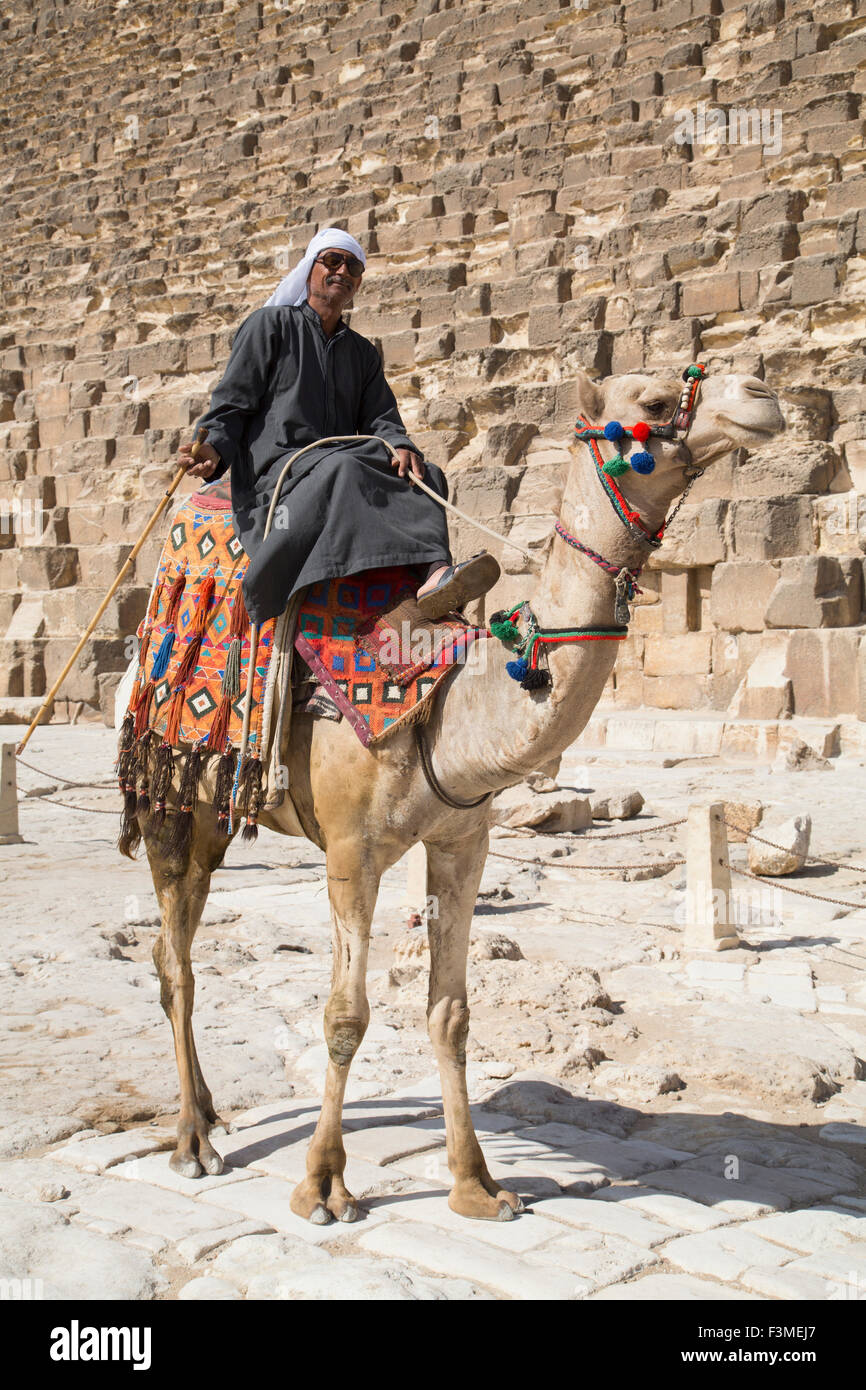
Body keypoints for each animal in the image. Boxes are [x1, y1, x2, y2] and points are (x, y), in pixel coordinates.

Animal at [136, 365, 784, 1223]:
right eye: (648, 402)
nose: (761, 394)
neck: (452, 709)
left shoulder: (462, 843)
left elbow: (450, 1015)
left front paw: (478, 1185)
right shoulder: (352, 853)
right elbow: (345, 1017)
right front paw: (323, 1186)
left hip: (215, 809)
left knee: (175, 944)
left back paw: (210, 1112)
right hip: (170, 792)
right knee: (174, 959)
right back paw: (193, 1141)